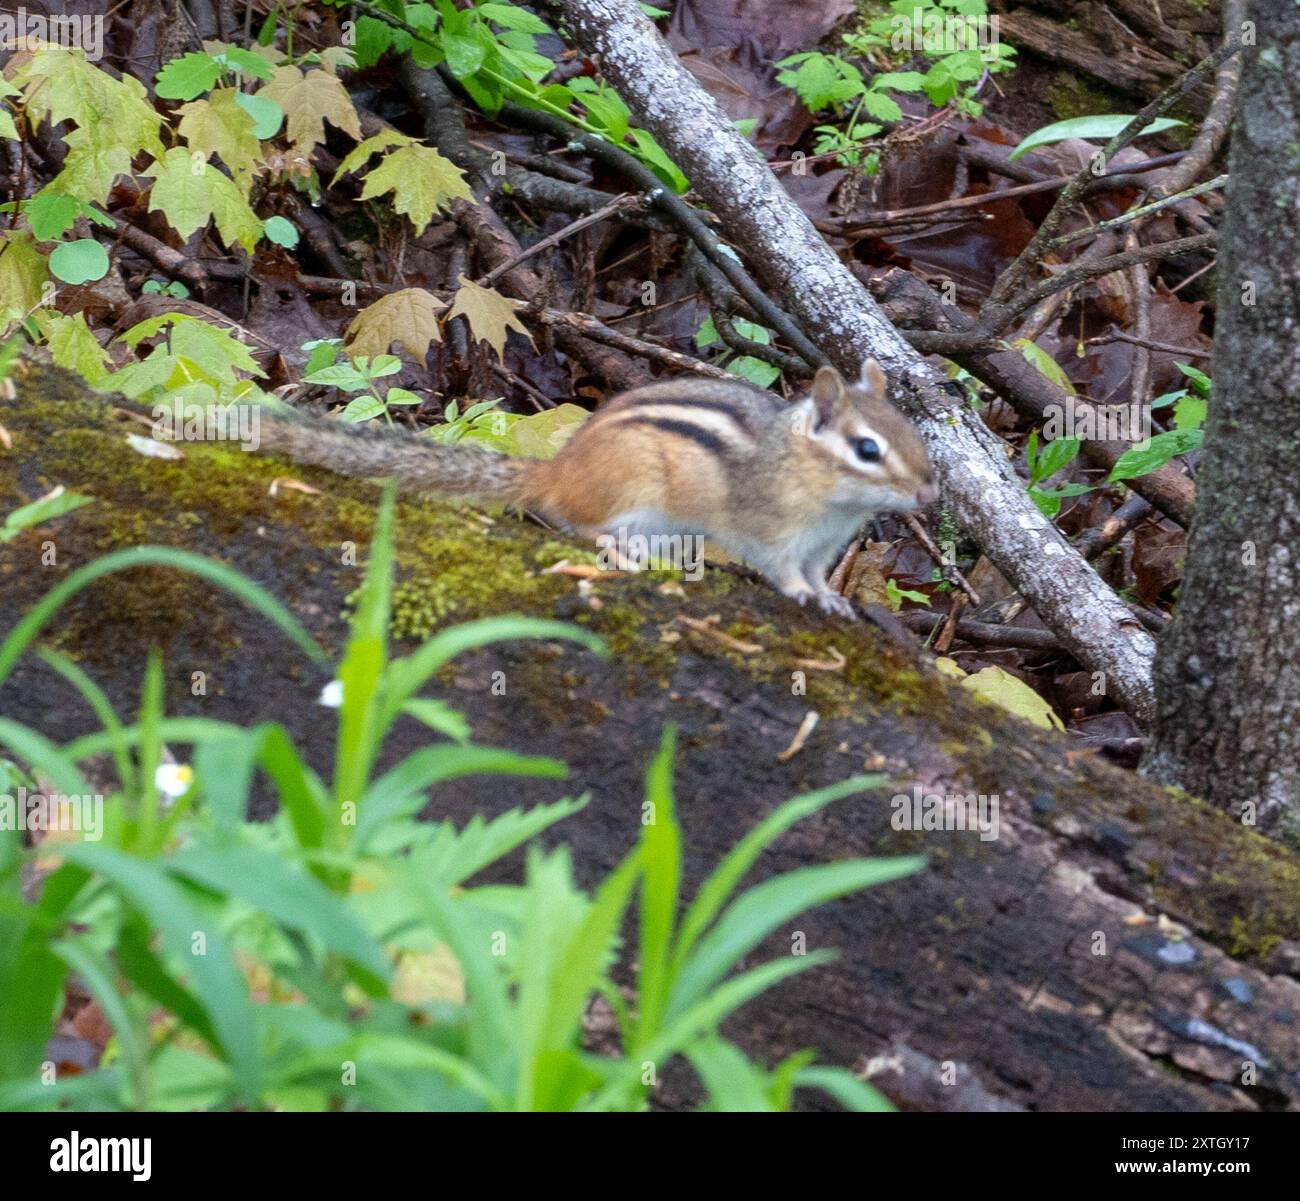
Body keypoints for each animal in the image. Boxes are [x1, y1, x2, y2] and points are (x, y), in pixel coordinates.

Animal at [252, 360, 936, 617]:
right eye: (867, 450)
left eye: (912, 432)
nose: (930, 497)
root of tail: (555, 470)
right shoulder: (777, 533)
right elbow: (784, 571)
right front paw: (802, 596)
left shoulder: (824, 547)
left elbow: (820, 576)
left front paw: (834, 600)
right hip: (633, 491)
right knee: (575, 524)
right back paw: (623, 550)